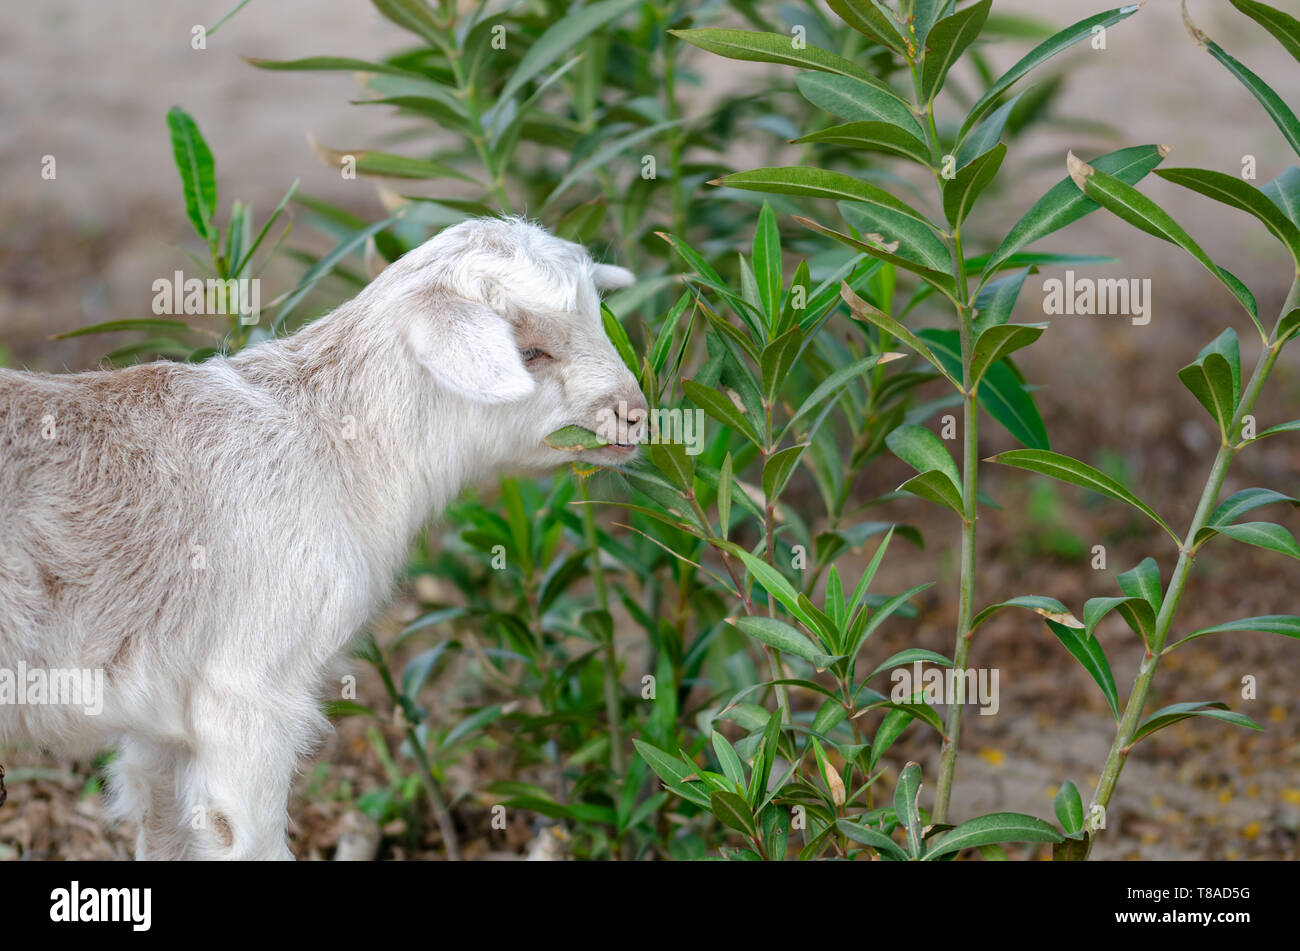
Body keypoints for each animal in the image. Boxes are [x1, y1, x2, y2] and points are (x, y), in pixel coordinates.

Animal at [0, 216, 647, 859]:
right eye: (529, 350)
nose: (637, 413)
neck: (333, 448)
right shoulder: (248, 692)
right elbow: (247, 839)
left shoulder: (163, 715)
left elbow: (161, 826)